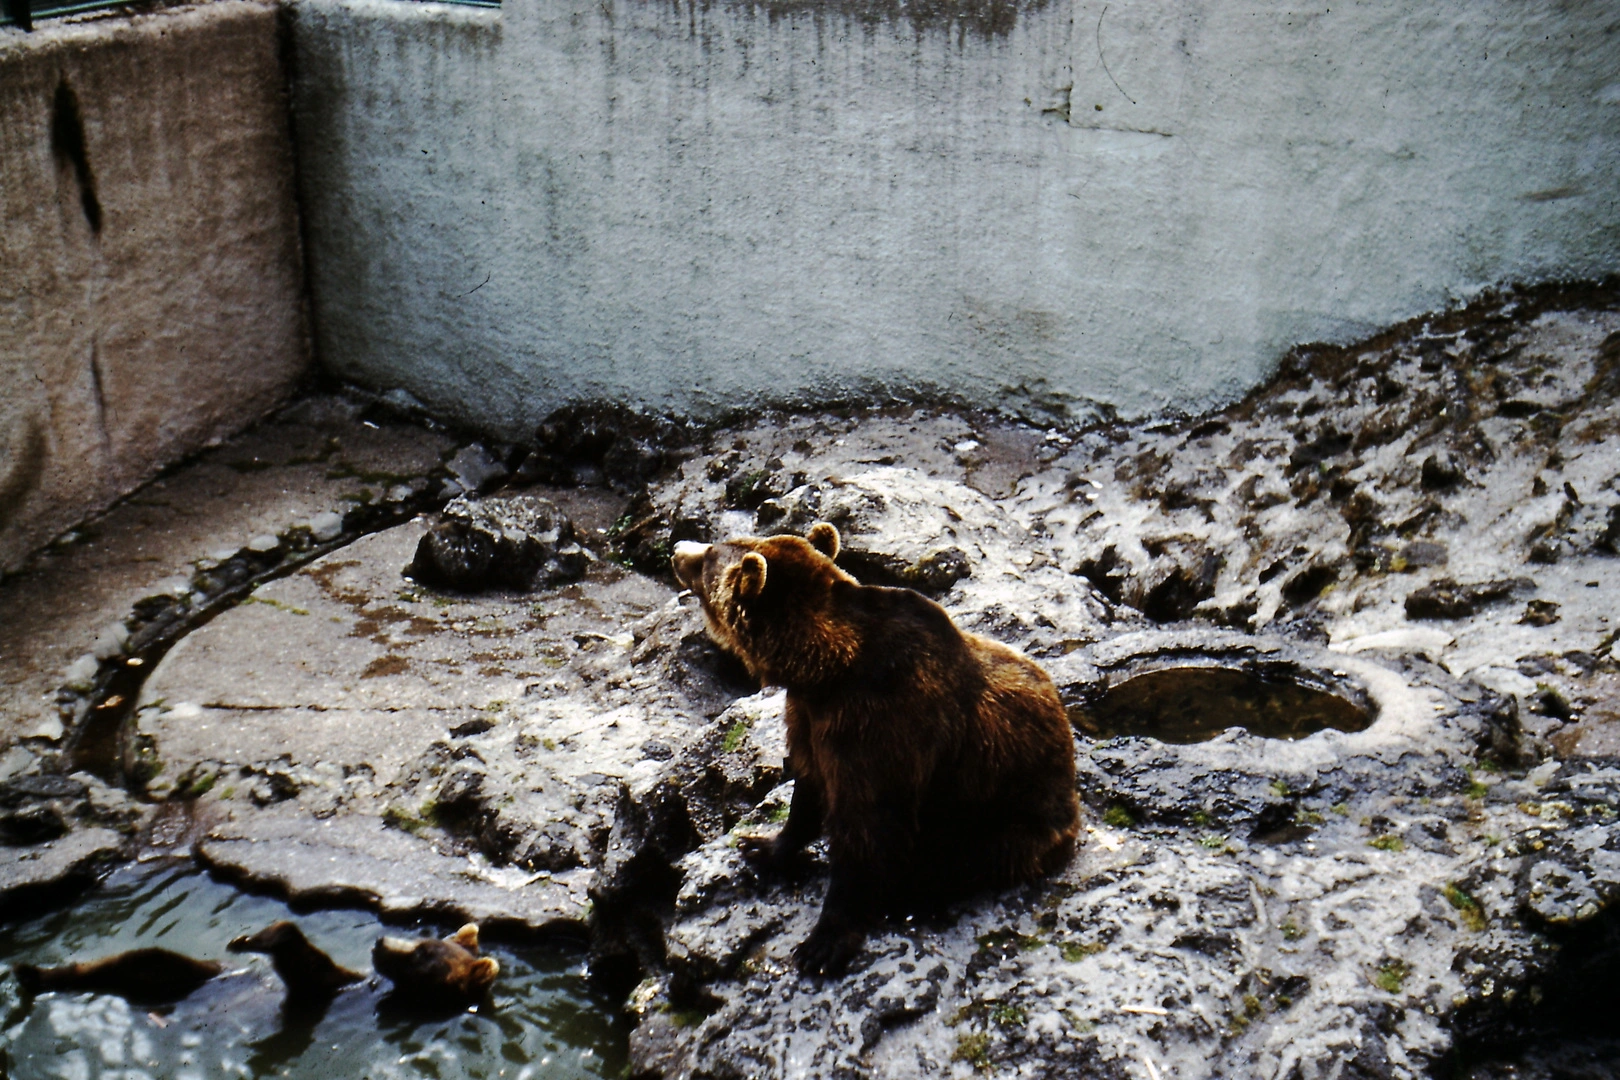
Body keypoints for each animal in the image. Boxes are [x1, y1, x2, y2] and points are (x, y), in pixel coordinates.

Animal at [672, 523, 1079, 976]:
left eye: (709, 555)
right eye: (717, 544)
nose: (678, 548)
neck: (825, 668)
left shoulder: (881, 724)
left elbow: (868, 825)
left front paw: (824, 943)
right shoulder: (811, 719)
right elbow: (807, 787)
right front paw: (763, 845)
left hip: (1006, 813)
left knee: (967, 857)